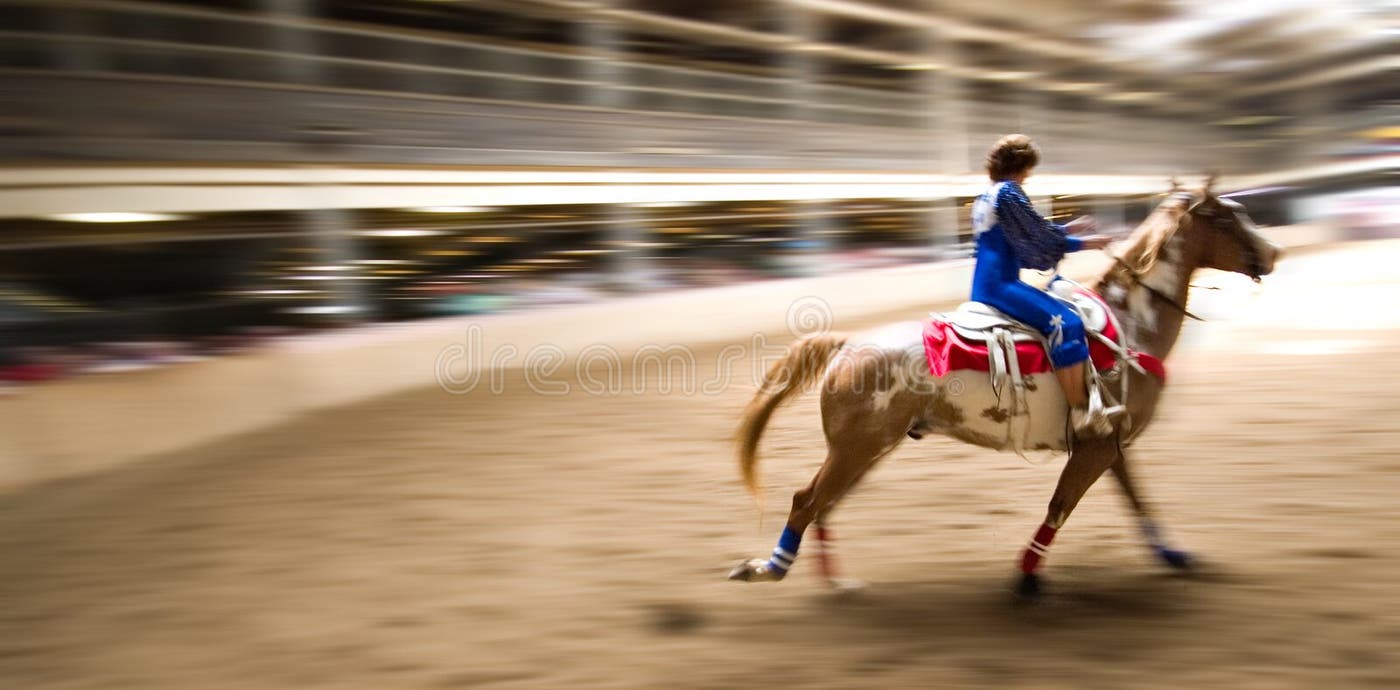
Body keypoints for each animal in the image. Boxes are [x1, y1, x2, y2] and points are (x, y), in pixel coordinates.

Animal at [728, 177, 1283, 597]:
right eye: (1227, 217)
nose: (1273, 252)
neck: (1128, 325)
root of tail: (848, 345)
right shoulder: (1096, 447)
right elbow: (1060, 506)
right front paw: (1027, 575)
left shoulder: (1110, 444)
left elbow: (1138, 501)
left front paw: (1173, 553)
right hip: (856, 449)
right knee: (807, 500)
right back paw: (770, 568)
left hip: (866, 450)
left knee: (823, 503)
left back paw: (836, 580)